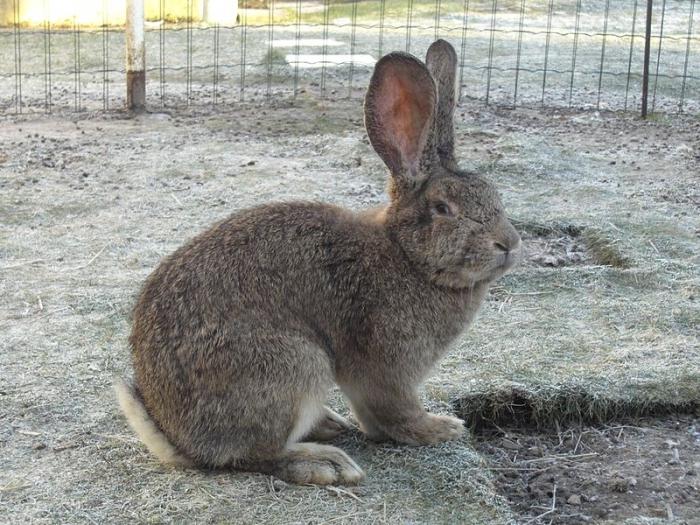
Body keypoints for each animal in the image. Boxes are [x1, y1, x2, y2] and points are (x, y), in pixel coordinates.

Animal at [115, 39, 520, 486]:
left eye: (494, 194)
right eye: (444, 208)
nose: (509, 244)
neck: (407, 255)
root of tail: (180, 441)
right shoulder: (387, 368)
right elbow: (395, 413)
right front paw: (440, 428)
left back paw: (328, 425)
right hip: (294, 365)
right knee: (255, 456)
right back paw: (326, 463)